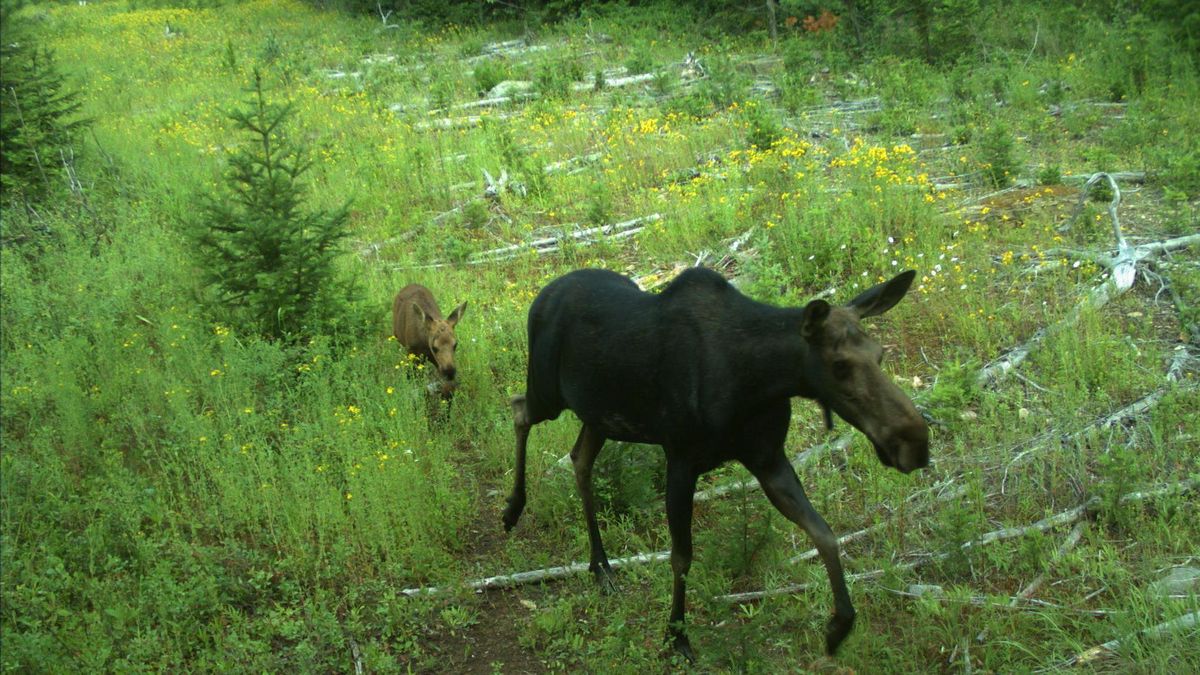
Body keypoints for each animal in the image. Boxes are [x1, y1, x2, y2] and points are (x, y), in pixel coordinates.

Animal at [501, 266, 929, 661]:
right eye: (839, 365)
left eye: (880, 354)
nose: (916, 444)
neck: (756, 384)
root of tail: (543, 294)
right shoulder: (681, 459)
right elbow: (682, 556)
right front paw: (676, 635)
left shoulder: (769, 459)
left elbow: (824, 534)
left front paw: (839, 625)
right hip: (548, 391)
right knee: (519, 410)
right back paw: (513, 509)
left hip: (598, 412)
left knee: (580, 459)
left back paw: (601, 565)